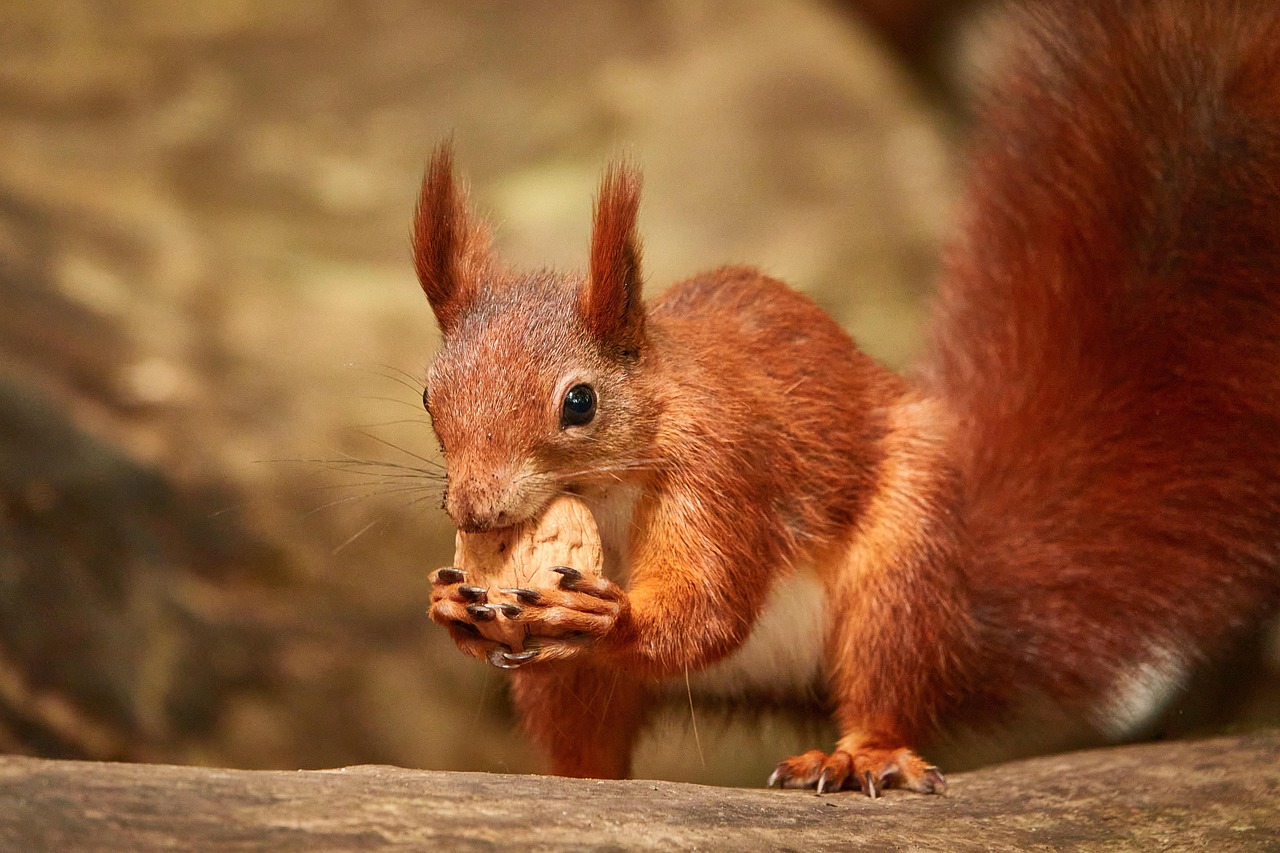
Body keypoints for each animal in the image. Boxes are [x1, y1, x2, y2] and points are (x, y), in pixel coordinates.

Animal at [416, 0, 1280, 795]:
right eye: (430, 394)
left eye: (580, 403)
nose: (476, 512)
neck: (607, 486)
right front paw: (451, 606)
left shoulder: (725, 473)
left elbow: (707, 612)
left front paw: (608, 614)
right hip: (578, 680)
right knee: (581, 731)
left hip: (903, 566)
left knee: (884, 675)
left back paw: (861, 754)